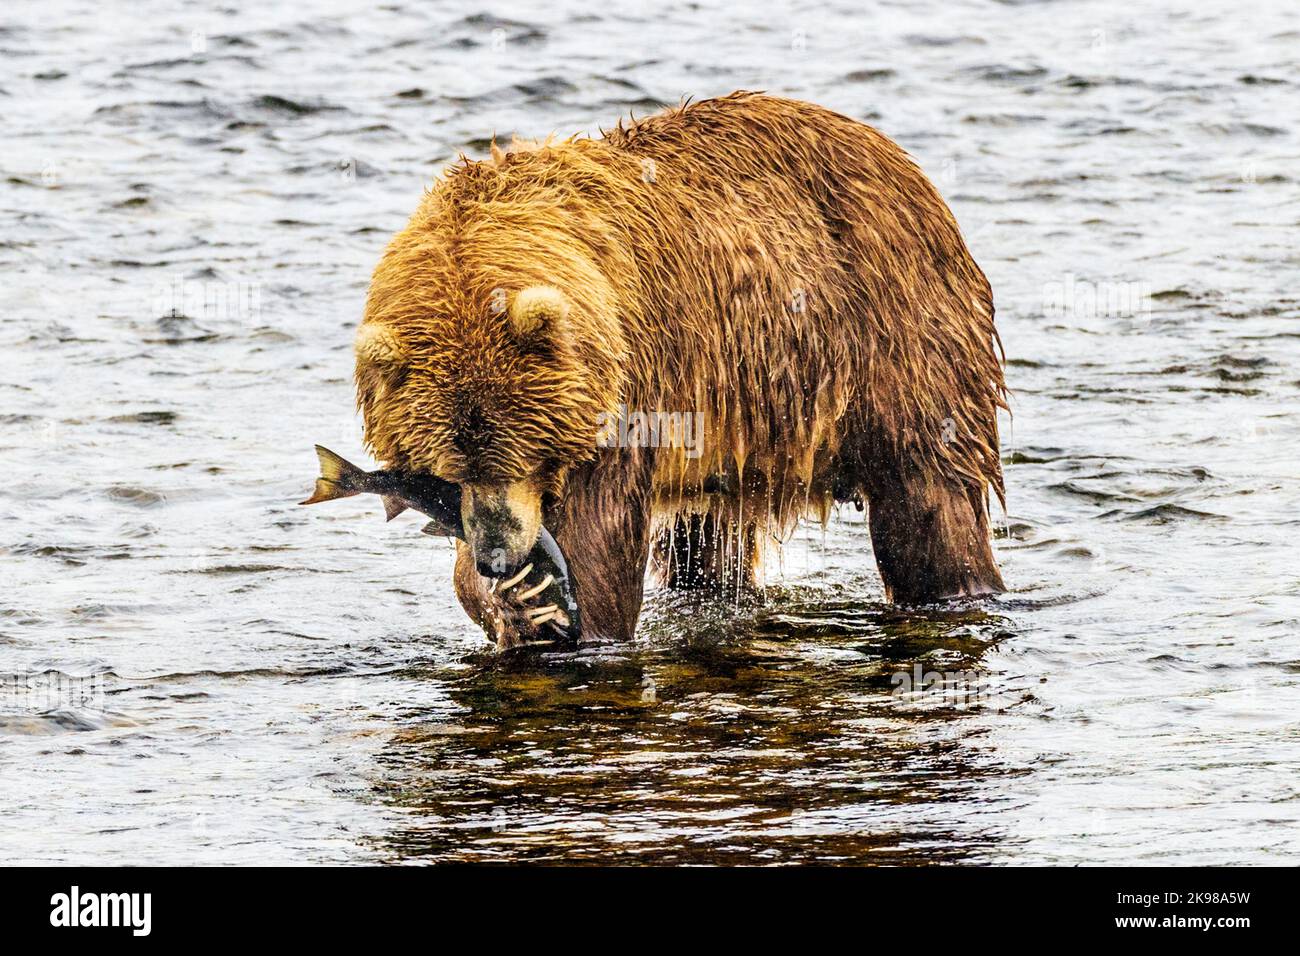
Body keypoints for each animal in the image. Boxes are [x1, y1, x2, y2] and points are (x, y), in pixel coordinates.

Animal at [354, 91, 1007, 648]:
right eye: (448, 465)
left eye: (524, 452)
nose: (498, 557)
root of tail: (903, 164)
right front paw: (512, 603)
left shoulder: (624, 393)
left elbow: (596, 538)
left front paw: (569, 616)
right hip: (734, 424)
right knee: (704, 542)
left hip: (890, 336)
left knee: (928, 499)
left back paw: (960, 588)